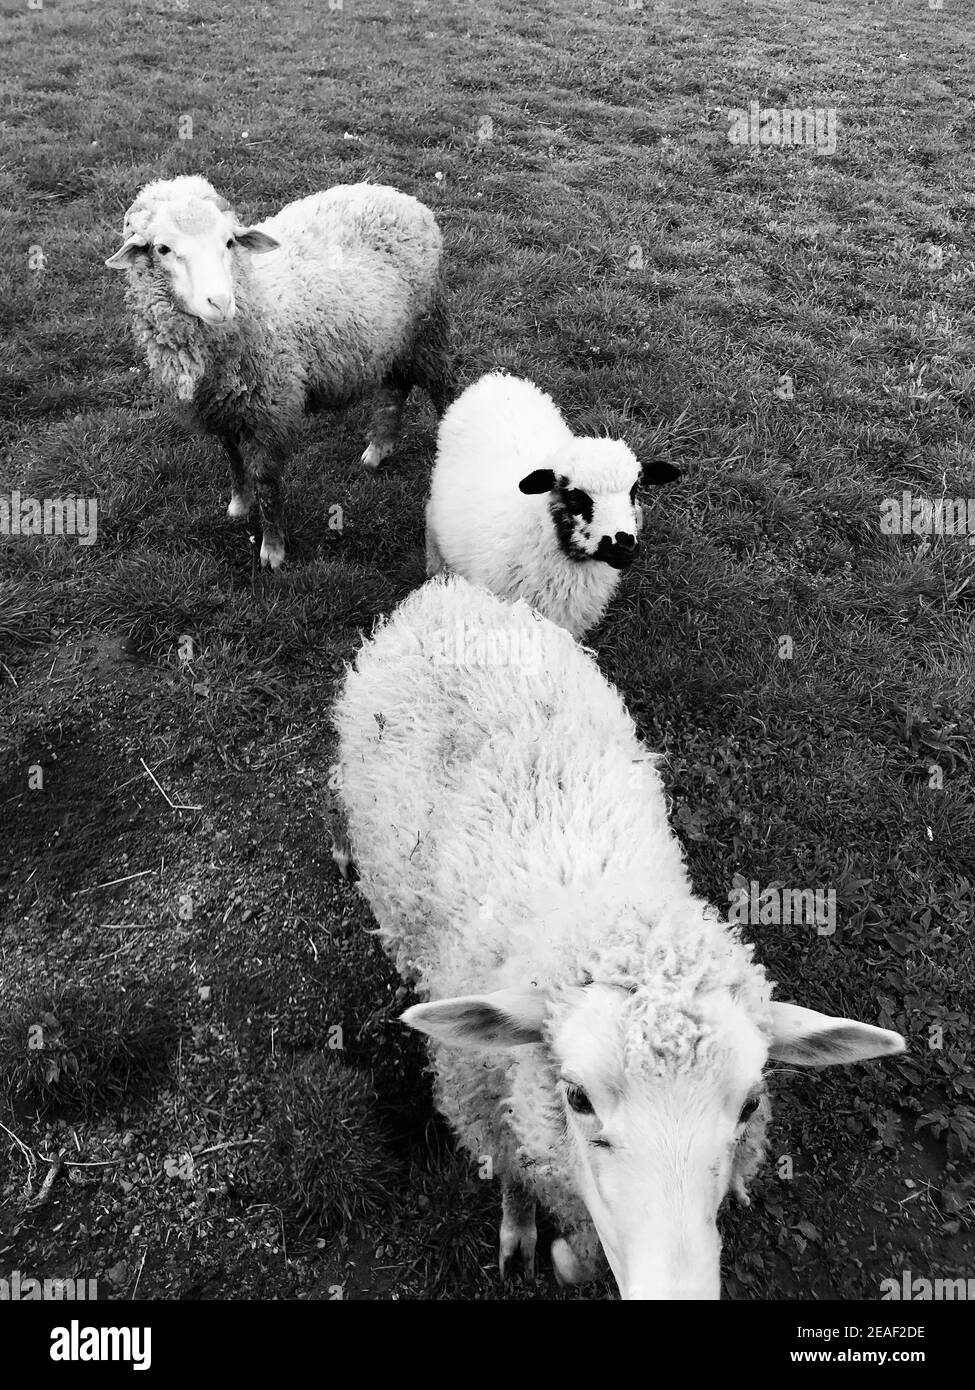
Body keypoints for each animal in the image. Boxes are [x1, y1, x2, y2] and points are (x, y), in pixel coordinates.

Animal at [105, 174, 451, 570]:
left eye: (228, 242)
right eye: (162, 248)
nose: (220, 302)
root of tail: (397, 196)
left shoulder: (270, 409)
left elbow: (266, 481)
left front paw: (273, 549)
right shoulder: (222, 407)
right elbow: (232, 456)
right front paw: (239, 504)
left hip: (427, 329)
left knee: (443, 387)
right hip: (392, 339)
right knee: (395, 388)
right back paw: (379, 448)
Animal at [331, 574, 906, 1300]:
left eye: (749, 1104)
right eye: (577, 1098)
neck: (605, 906)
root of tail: (454, 592)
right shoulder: (489, 1105)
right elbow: (515, 1180)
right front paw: (521, 1238)